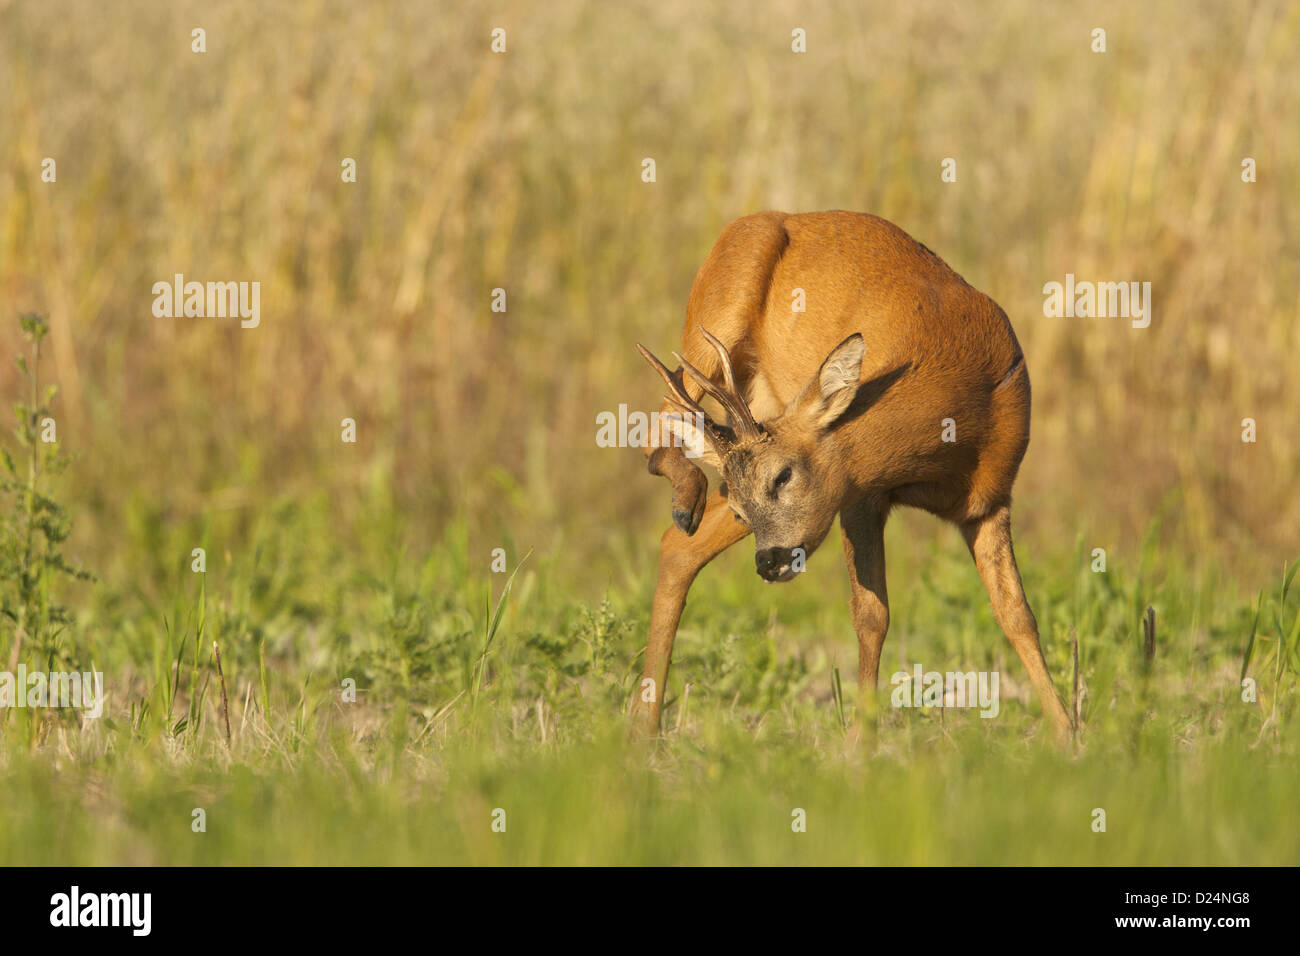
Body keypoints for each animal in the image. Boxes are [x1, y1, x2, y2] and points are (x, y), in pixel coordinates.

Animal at [632, 210, 1072, 743]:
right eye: (751, 498)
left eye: (783, 476)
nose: (769, 561)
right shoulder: (860, 495)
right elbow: (871, 615)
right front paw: (861, 745)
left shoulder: (990, 500)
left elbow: (1017, 614)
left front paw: (1068, 734)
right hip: (715, 314)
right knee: (658, 427)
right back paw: (685, 497)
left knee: (677, 544)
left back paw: (642, 726)